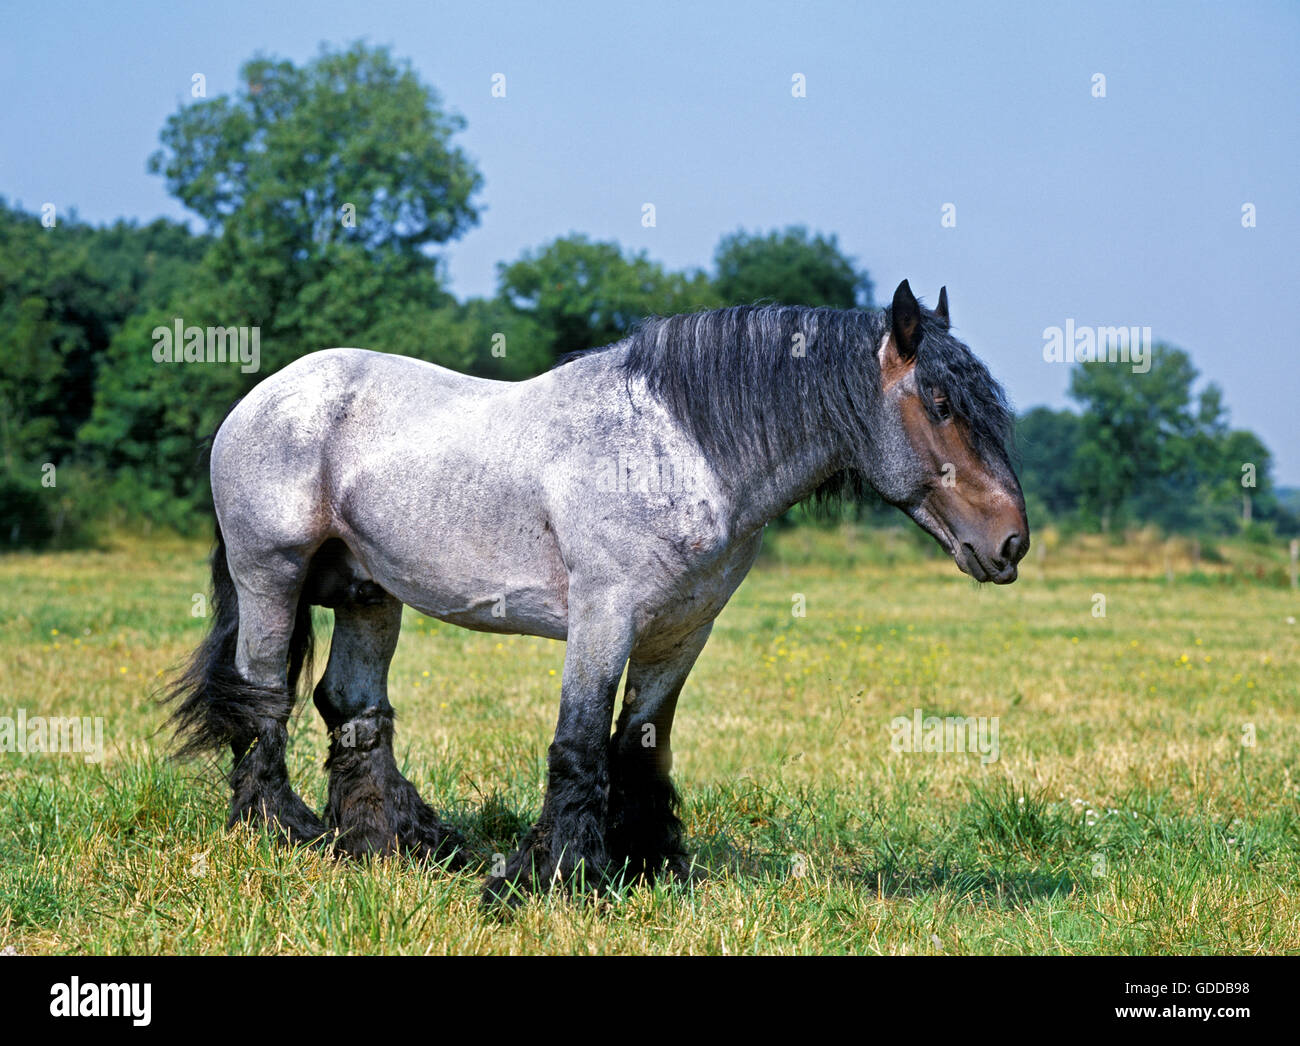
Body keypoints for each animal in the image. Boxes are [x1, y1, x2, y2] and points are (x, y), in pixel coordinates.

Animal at [165, 279, 1028, 905]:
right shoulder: (604, 617)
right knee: (261, 698)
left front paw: (650, 864)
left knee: (350, 706)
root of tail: (261, 399)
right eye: (942, 405)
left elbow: (640, 744)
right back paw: (282, 833)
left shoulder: (681, 631)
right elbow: (578, 745)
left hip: (367, 593)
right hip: (271, 576)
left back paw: (394, 843)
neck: (681, 449)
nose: (1011, 543)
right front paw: (557, 878)